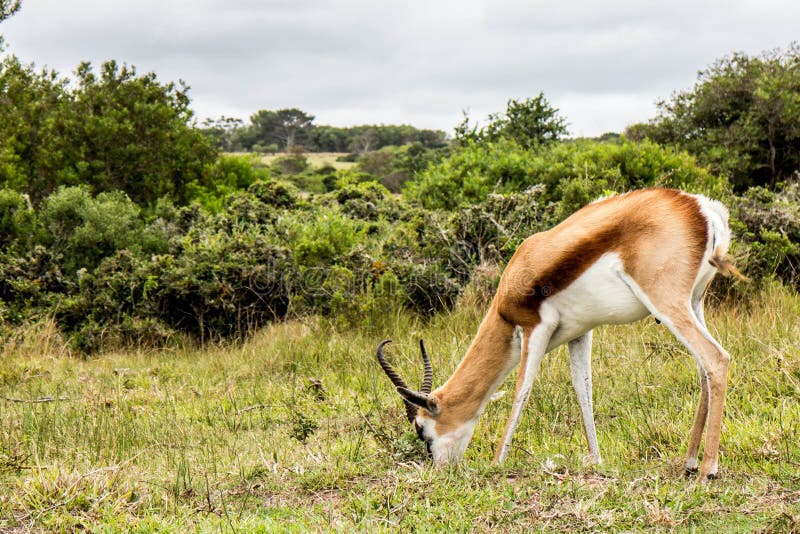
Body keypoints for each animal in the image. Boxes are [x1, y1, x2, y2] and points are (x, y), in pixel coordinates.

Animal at [377, 188, 744, 482]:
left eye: (421, 430)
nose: (440, 469)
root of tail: (701, 208)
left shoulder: (533, 329)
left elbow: (521, 392)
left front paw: (496, 463)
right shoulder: (580, 333)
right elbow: (583, 391)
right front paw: (596, 461)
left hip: (667, 302)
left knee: (716, 358)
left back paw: (708, 470)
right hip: (694, 302)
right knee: (703, 372)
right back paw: (689, 463)